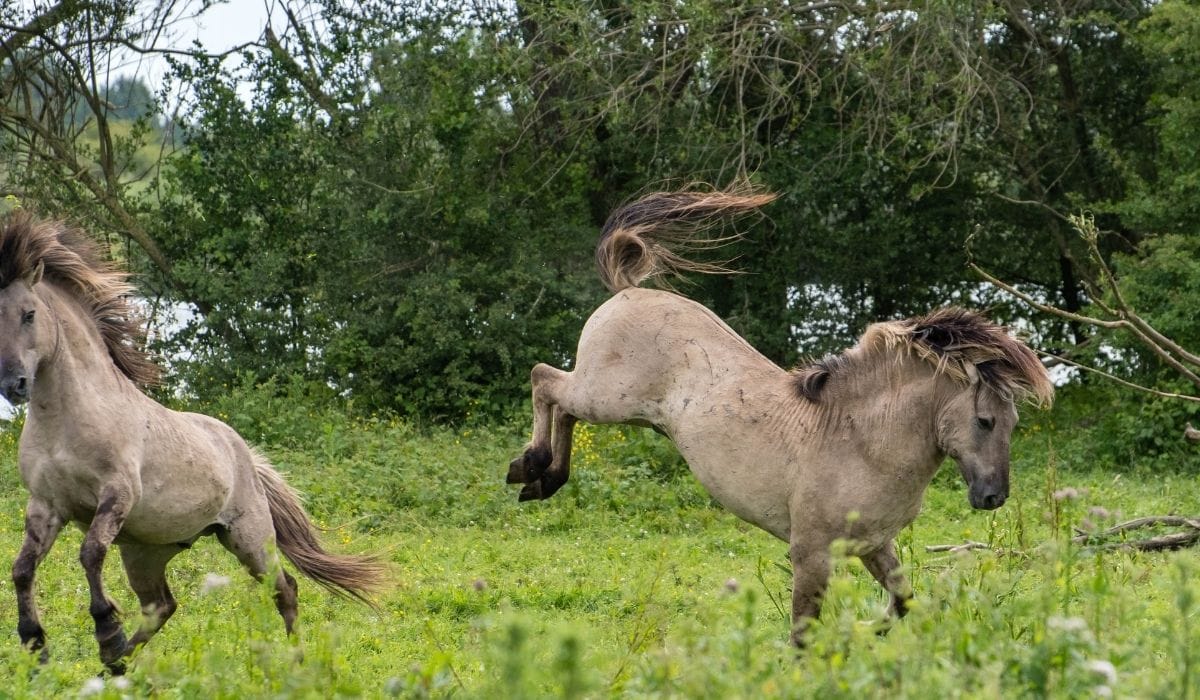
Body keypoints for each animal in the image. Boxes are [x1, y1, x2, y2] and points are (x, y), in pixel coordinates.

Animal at [0, 212, 384, 674]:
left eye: (29, 314)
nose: (14, 385)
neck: (68, 419)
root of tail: (246, 455)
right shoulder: (46, 505)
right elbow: (22, 569)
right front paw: (36, 644)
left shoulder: (117, 494)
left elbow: (90, 553)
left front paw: (107, 632)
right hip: (144, 552)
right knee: (162, 606)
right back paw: (115, 668)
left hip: (249, 538)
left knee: (285, 589)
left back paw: (295, 663)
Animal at [507, 189, 1054, 646]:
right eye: (985, 421)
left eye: (1012, 424)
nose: (993, 497)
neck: (861, 443)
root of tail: (628, 291)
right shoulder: (810, 553)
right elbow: (803, 632)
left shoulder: (874, 545)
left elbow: (902, 603)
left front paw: (861, 632)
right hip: (606, 396)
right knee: (545, 381)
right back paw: (530, 469)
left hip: (622, 409)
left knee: (560, 404)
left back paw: (542, 480)